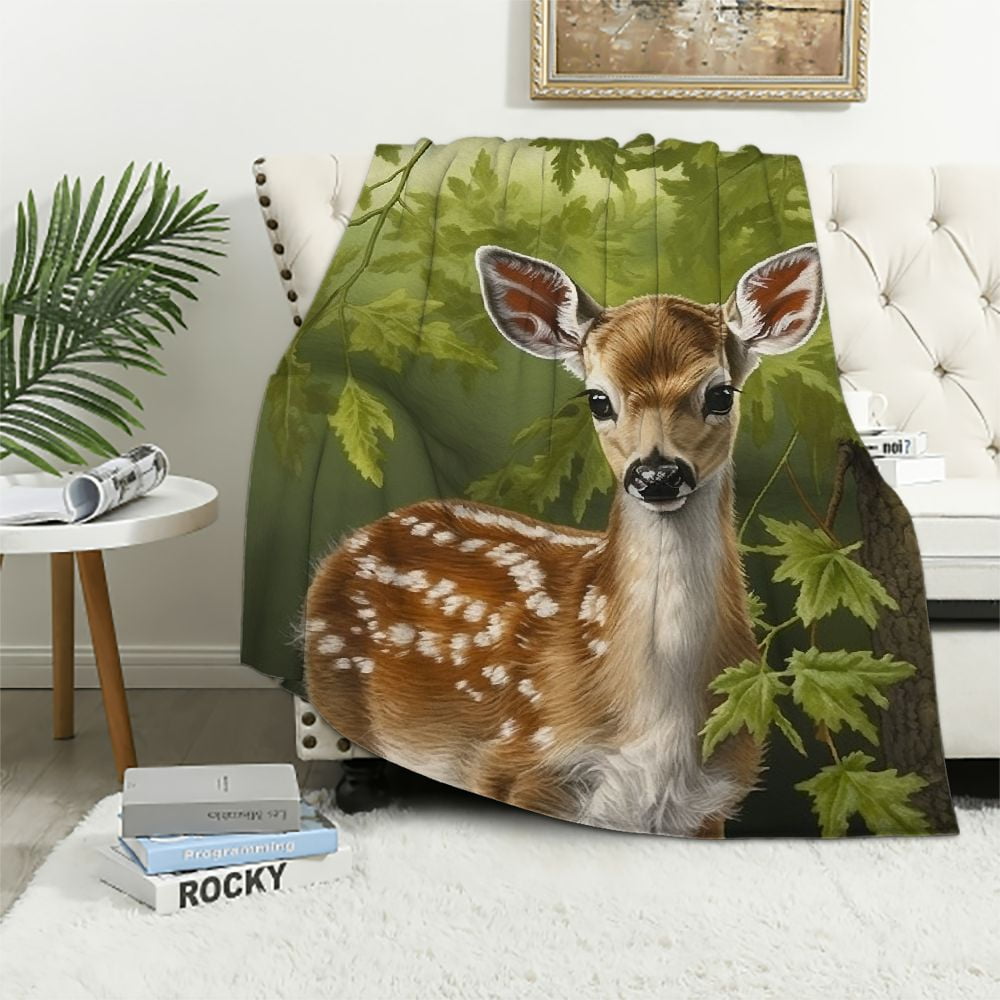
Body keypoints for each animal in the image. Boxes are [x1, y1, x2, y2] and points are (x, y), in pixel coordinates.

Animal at [304, 242, 824, 838]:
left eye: (720, 394)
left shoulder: (710, 804)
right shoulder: (517, 767)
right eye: (598, 399)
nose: (657, 474)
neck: (657, 730)